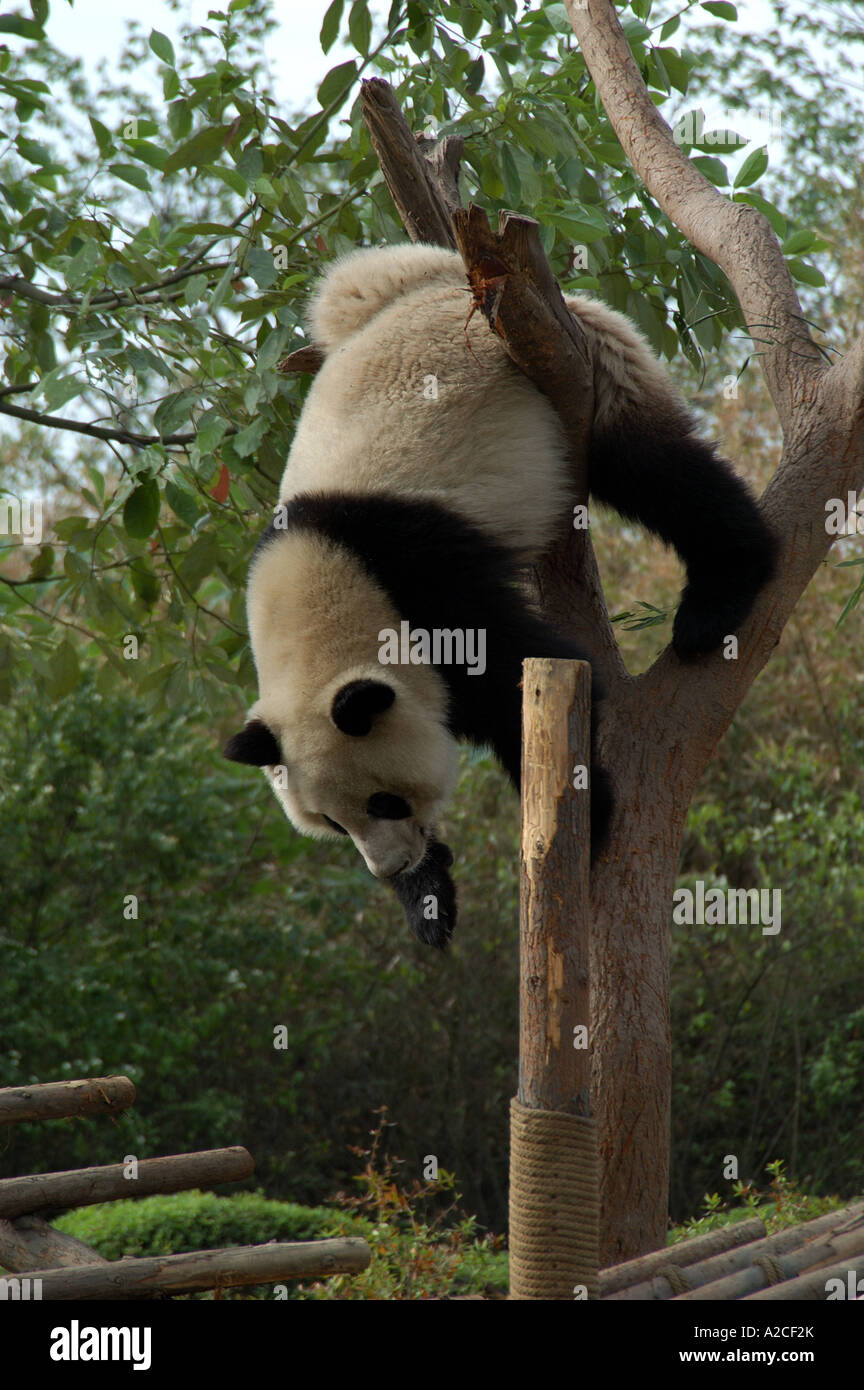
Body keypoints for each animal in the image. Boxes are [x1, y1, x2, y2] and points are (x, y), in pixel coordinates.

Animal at [224, 243, 776, 948]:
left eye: (384, 801)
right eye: (333, 823)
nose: (389, 865)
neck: (326, 586)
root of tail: (440, 280)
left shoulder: (428, 579)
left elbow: (533, 677)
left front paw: (586, 823)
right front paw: (428, 901)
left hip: (582, 368)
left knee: (658, 470)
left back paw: (716, 603)